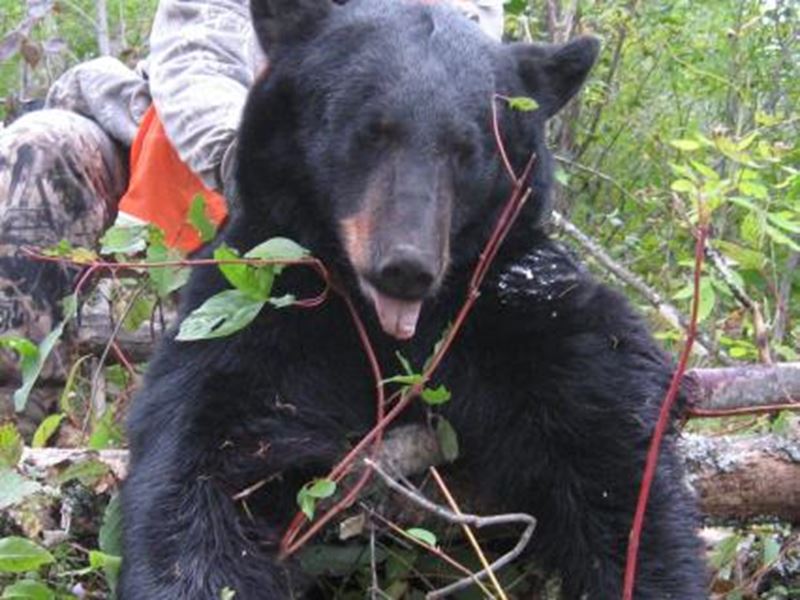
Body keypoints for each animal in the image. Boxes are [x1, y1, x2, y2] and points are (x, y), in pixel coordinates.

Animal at [120, 0, 707, 598]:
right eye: (370, 130)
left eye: (467, 150)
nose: (407, 267)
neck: (381, 323)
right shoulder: (264, 300)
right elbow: (211, 446)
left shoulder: (502, 304)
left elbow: (610, 436)